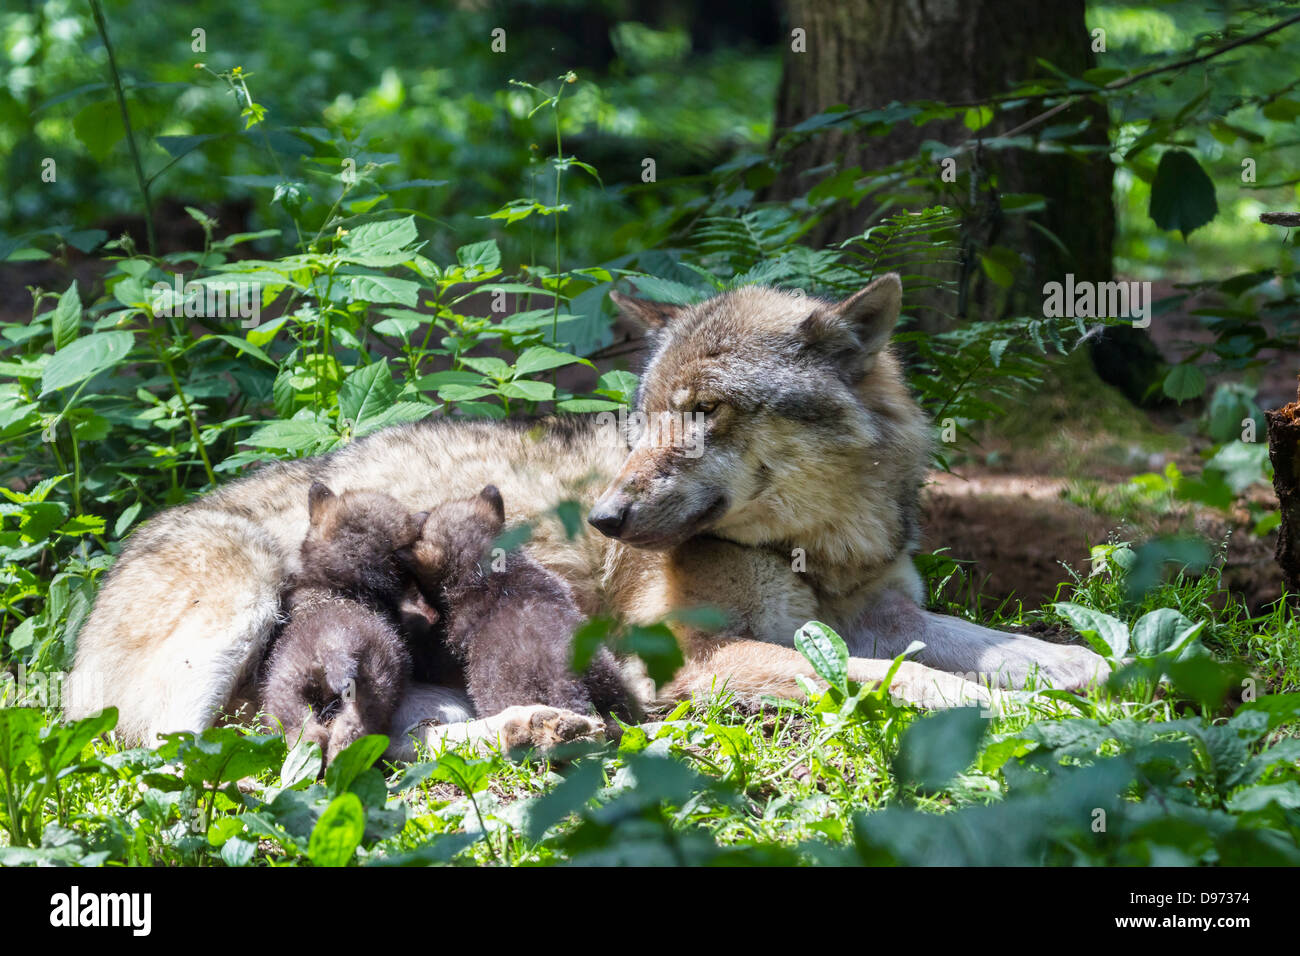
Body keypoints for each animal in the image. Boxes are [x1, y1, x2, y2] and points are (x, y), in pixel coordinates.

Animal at [66, 273, 1108, 756]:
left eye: (704, 412)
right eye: (646, 416)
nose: (602, 518)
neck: (818, 548)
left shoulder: (891, 611)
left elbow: (988, 644)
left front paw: (1085, 670)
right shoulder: (701, 660)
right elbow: (890, 679)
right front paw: (1025, 715)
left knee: (378, 743)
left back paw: (540, 731)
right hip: (235, 623)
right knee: (228, 751)